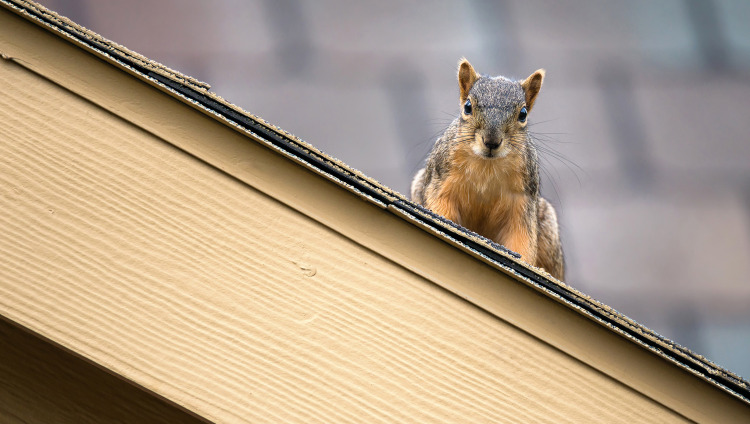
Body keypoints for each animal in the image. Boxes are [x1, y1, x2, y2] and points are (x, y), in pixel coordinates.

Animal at [411, 58, 564, 280]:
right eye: (468, 107)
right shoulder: (441, 181)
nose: (491, 141)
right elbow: (441, 208)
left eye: (523, 114)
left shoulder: (522, 201)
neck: (487, 165)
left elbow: (521, 237)